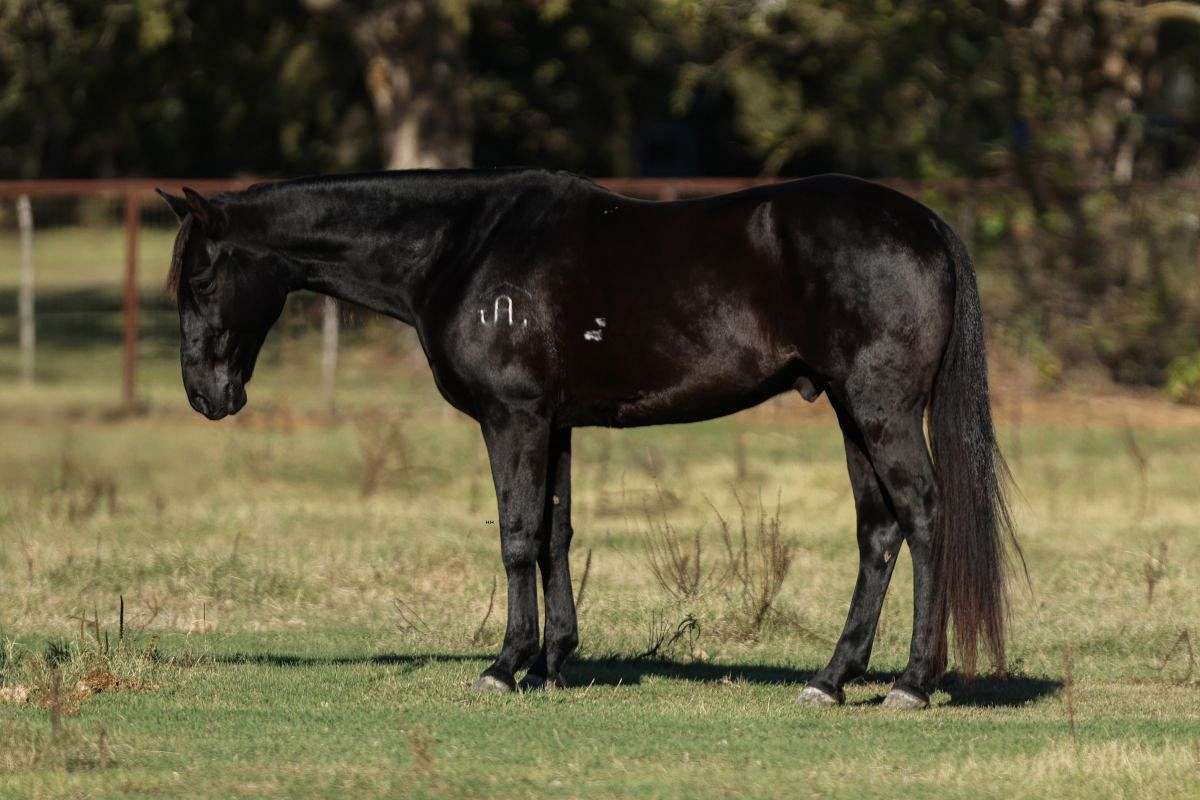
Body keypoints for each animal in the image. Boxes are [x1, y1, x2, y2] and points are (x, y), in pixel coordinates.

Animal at [158, 169, 1019, 710]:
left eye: (199, 279)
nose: (206, 396)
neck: (462, 247)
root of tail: (925, 223)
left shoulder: (513, 417)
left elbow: (516, 535)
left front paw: (505, 666)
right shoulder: (556, 421)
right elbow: (556, 534)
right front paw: (554, 665)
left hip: (881, 407)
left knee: (924, 517)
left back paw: (912, 681)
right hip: (849, 409)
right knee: (879, 530)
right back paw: (831, 678)